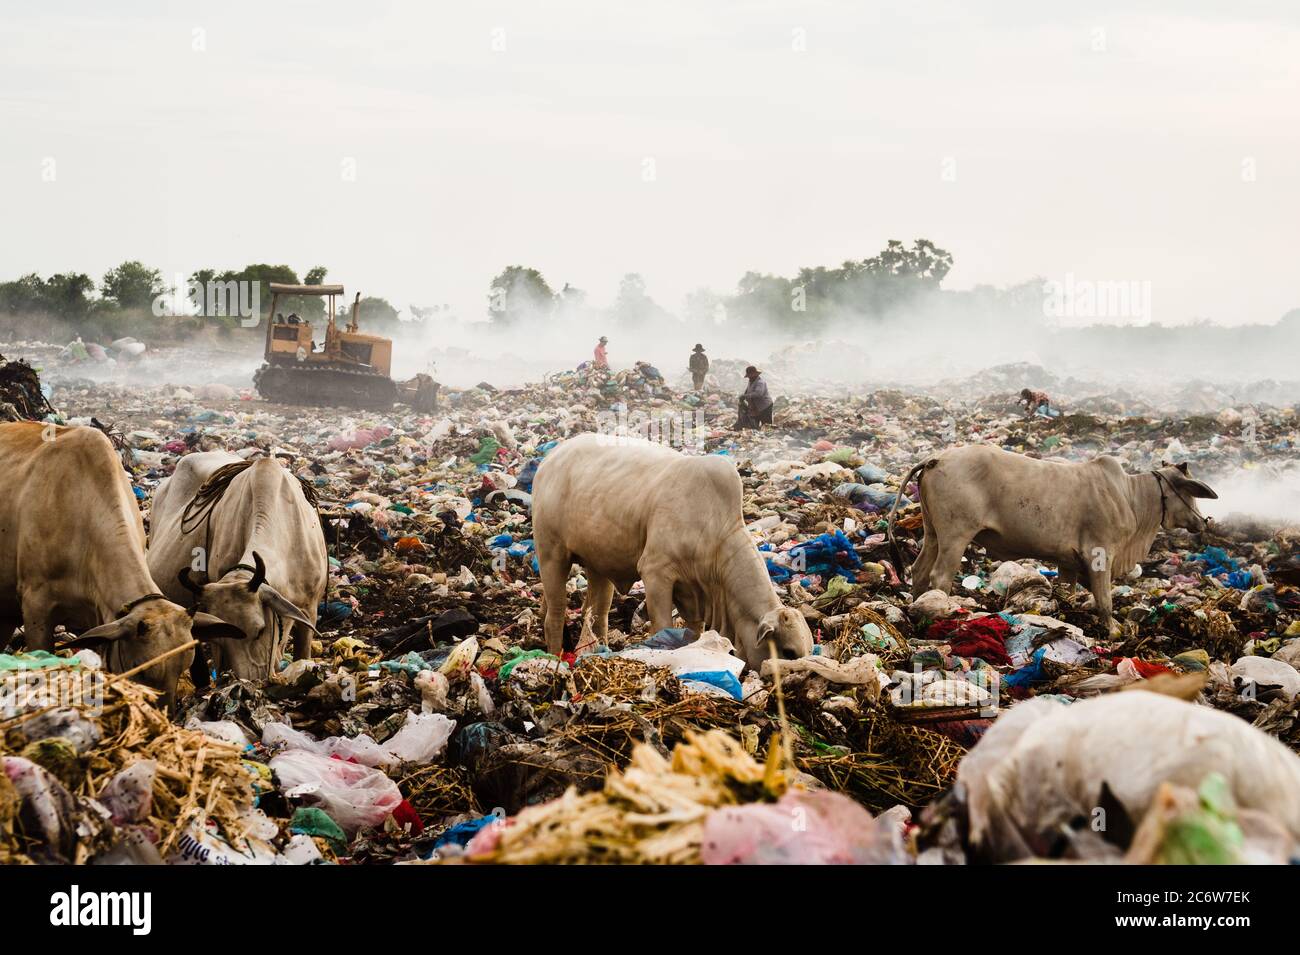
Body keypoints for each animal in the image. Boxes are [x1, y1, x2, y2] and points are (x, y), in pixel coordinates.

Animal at [531, 433, 813, 667]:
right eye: (788, 652)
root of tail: (551, 457)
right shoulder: (656, 573)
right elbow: (662, 627)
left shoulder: (692, 592)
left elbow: (694, 632)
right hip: (551, 553)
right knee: (555, 612)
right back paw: (556, 659)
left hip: (597, 561)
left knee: (597, 614)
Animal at [888, 445, 1217, 627]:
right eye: (1190, 491)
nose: (1203, 521)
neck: (1131, 496)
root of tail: (937, 458)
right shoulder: (1100, 553)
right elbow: (1104, 599)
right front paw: (1113, 629)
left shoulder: (1068, 562)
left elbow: (1068, 594)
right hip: (956, 534)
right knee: (940, 576)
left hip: (934, 532)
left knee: (920, 570)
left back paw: (916, 609)